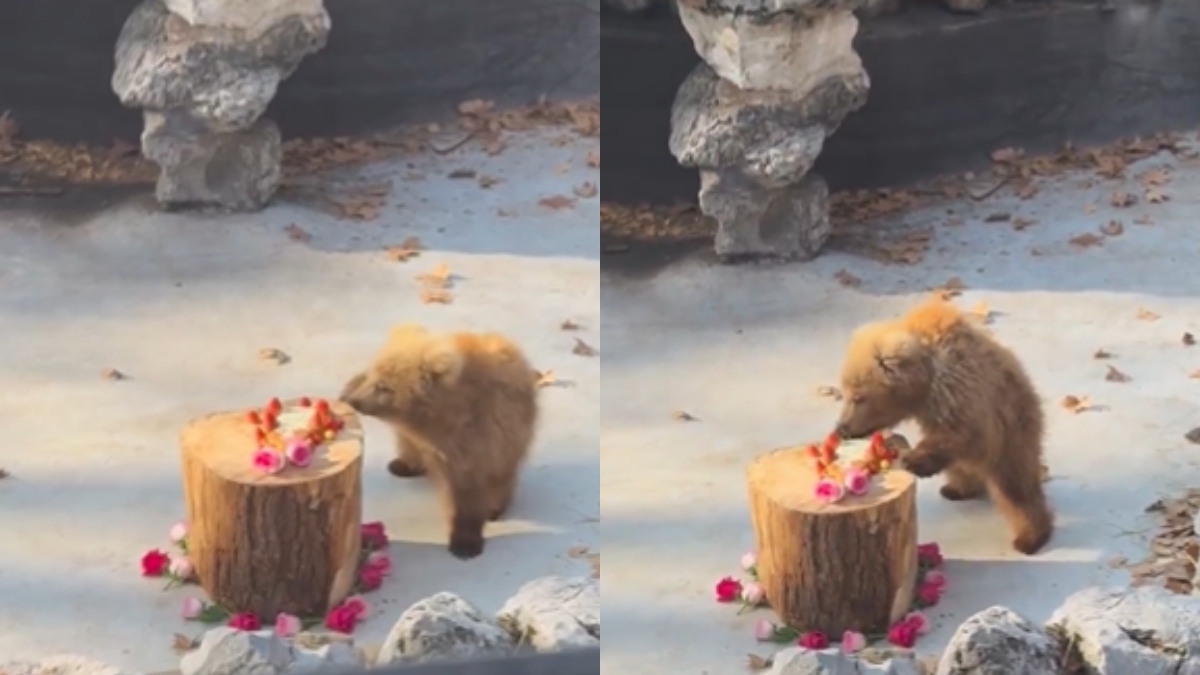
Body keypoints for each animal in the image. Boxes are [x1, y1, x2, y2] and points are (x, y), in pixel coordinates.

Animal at [338, 323, 540, 560]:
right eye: (374, 377)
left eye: (384, 386)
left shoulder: (486, 437)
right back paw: (402, 464)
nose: (354, 400)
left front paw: (467, 541)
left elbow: (470, 488)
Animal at [832, 297, 1054, 555]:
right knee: (961, 466)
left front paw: (912, 460)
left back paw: (1030, 537)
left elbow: (960, 431)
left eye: (859, 397)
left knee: (1016, 485)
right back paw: (956, 489)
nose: (842, 428)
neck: (923, 385)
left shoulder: (958, 391)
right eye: (845, 393)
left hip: (1013, 426)